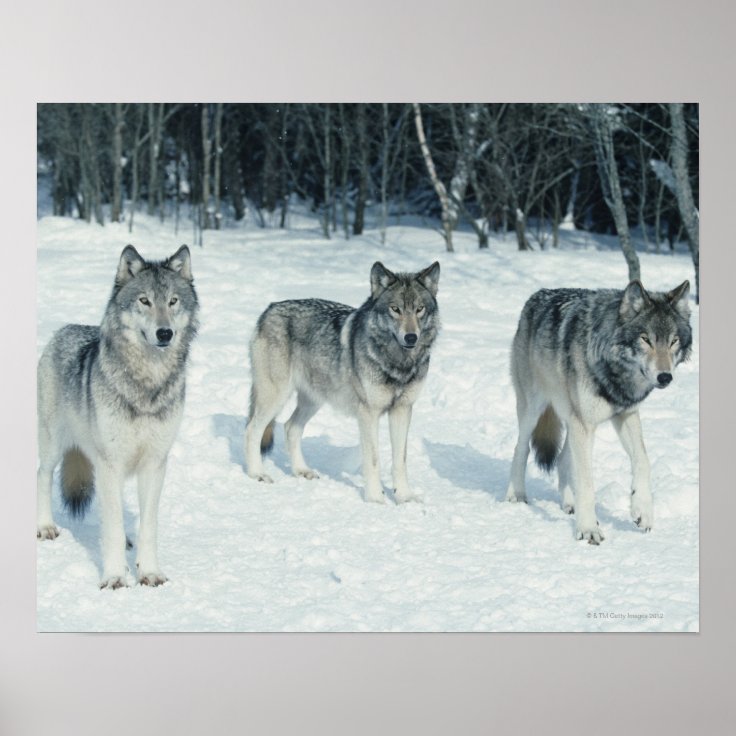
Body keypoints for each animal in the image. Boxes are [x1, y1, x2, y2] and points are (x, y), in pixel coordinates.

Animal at [37, 245, 199, 588]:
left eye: (173, 301)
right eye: (144, 301)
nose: (164, 333)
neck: (147, 384)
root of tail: (63, 329)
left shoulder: (154, 463)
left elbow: (148, 527)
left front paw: (149, 572)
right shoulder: (110, 461)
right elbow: (110, 527)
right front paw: (114, 577)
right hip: (55, 446)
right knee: (42, 475)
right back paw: (44, 527)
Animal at [244, 261, 440, 503]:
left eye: (419, 309)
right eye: (395, 309)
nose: (411, 337)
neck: (398, 363)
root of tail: (269, 309)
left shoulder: (402, 410)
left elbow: (400, 460)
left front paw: (404, 497)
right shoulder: (368, 413)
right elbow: (373, 460)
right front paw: (375, 499)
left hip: (313, 400)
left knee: (290, 427)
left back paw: (301, 471)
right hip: (276, 397)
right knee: (252, 430)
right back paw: (257, 474)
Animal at [505, 279, 692, 544]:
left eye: (673, 341)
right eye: (645, 339)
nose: (665, 377)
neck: (614, 370)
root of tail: (538, 294)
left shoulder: (625, 415)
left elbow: (643, 460)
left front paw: (642, 511)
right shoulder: (584, 424)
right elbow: (586, 482)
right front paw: (588, 529)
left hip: (573, 421)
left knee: (563, 458)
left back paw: (569, 503)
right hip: (534, 410)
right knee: (521, 448)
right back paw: (516, 495)